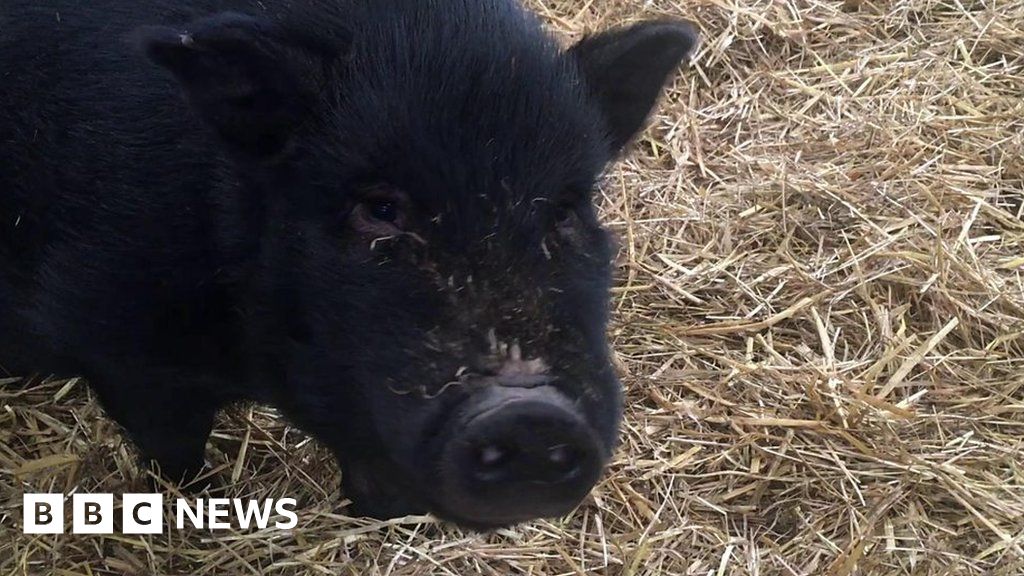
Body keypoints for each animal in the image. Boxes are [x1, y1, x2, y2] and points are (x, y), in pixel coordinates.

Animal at [0, 0, 697, 528]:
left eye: (565, 209)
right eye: (380, 209)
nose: (529, 410)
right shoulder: (118, 340)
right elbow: (173, 448)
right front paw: (201, 503)